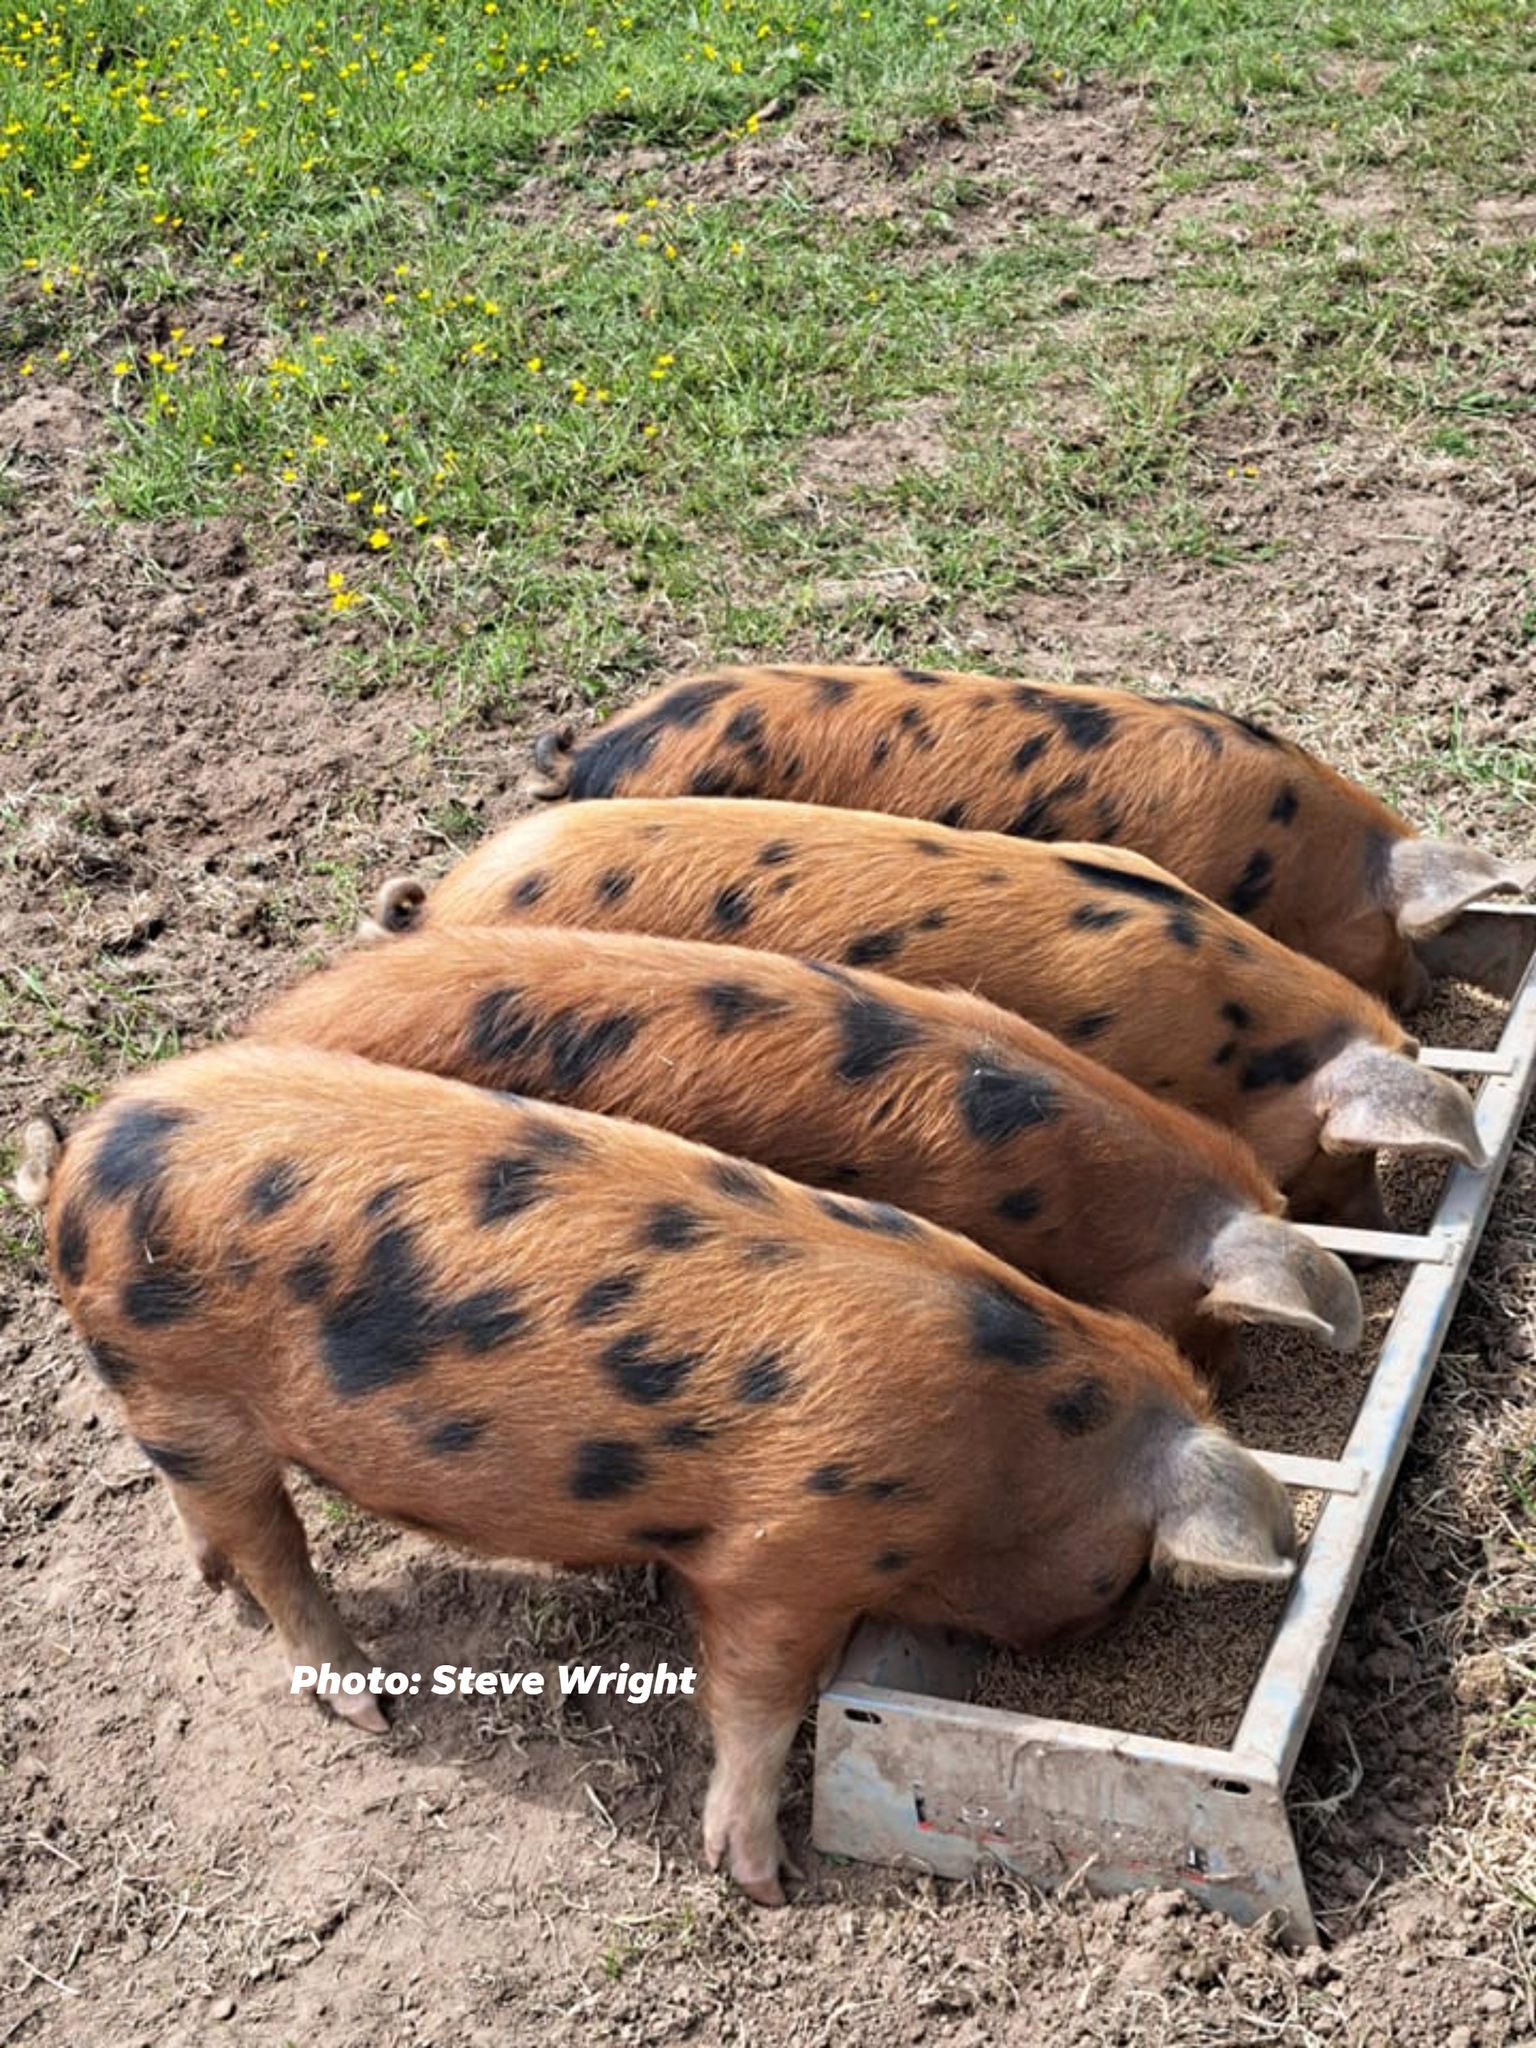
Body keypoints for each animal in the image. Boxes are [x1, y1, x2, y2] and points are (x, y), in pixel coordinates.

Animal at [20, 1044, 1295, 1904]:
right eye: (1121, 1573)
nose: (1083, 1644)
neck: (1013, 1435)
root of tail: (84, 1152)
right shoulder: (783, 1550)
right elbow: (755, 1701)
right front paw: (766, 1883)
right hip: (182, 1381)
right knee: (276, 1550)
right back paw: (368, 1700)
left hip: (162, 1397)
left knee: (208, 1512)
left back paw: (213, 1581)